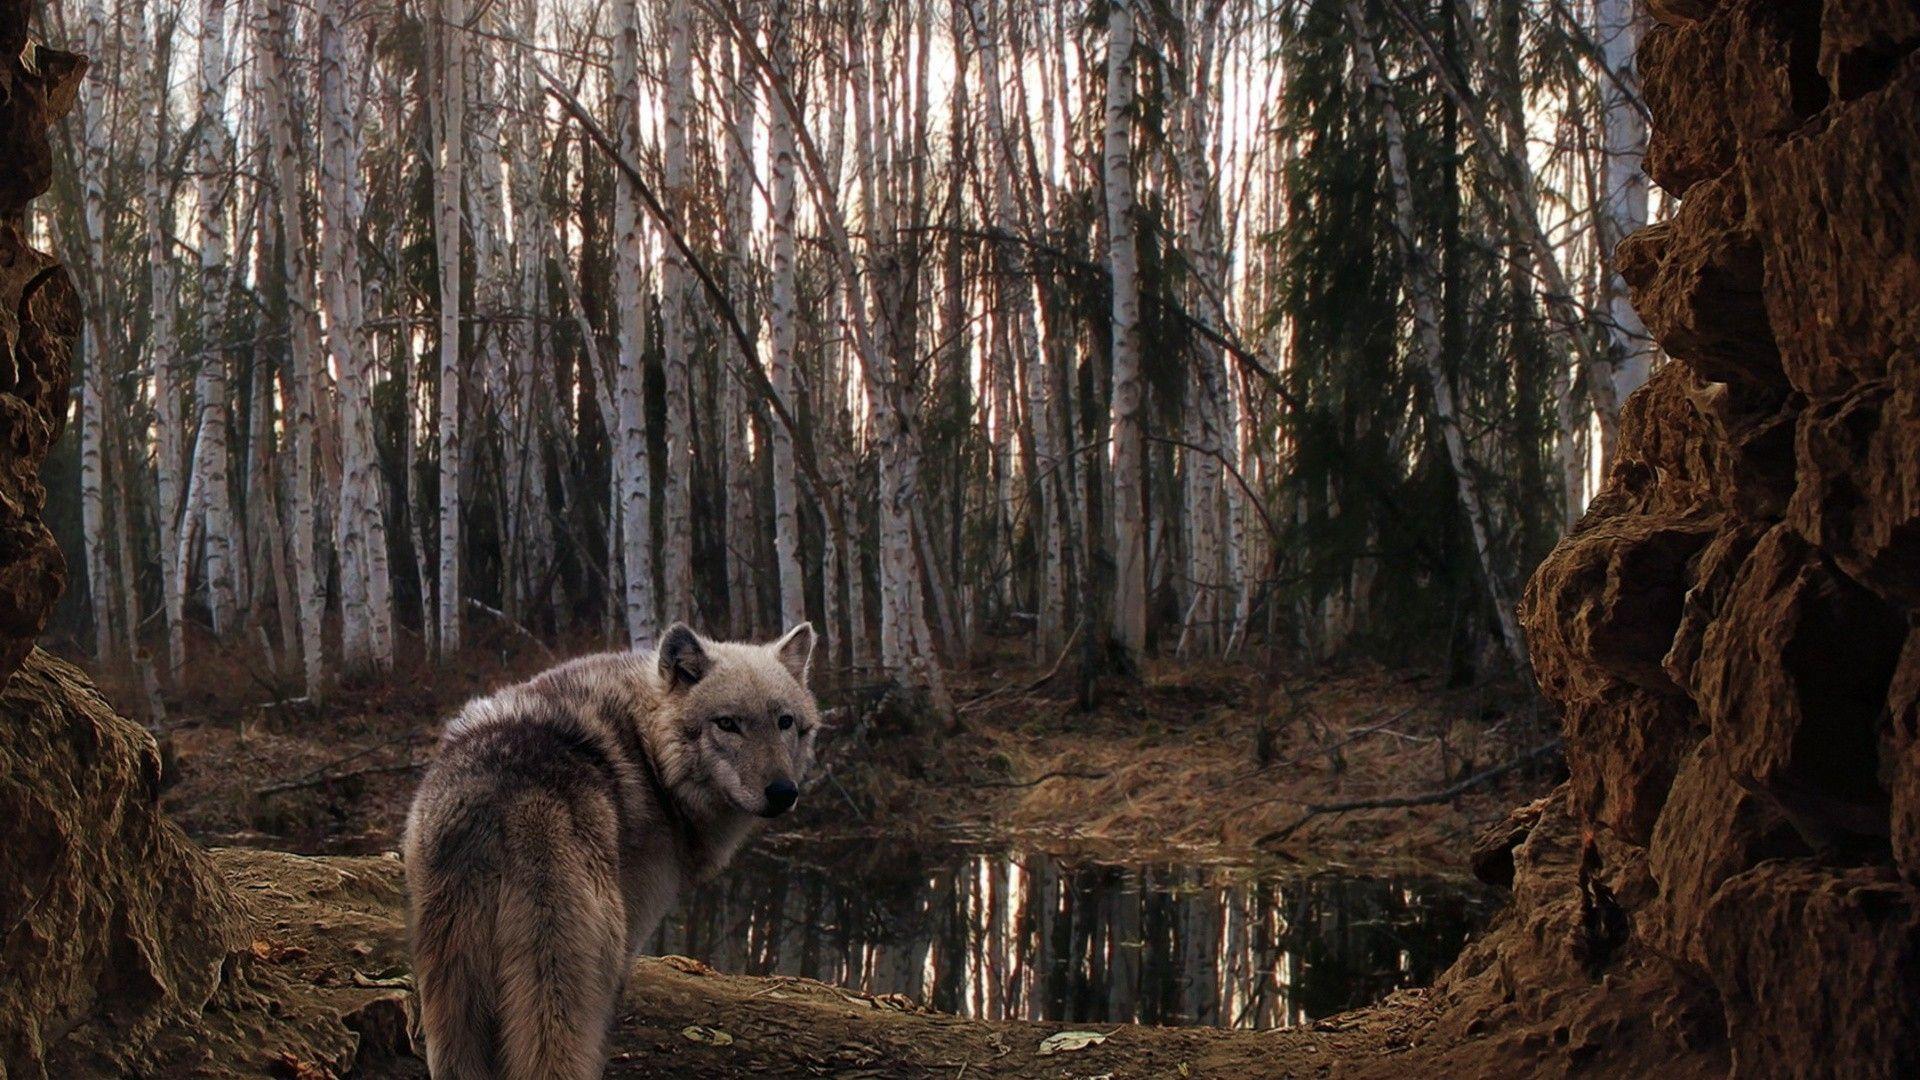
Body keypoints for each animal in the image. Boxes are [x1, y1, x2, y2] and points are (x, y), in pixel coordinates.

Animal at [403, 622, 820, 1079]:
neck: (649, 753)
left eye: (784, 722)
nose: (783, 792)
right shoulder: (633, 934)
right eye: (727, 724)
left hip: (452, 993)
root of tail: (509, 798)